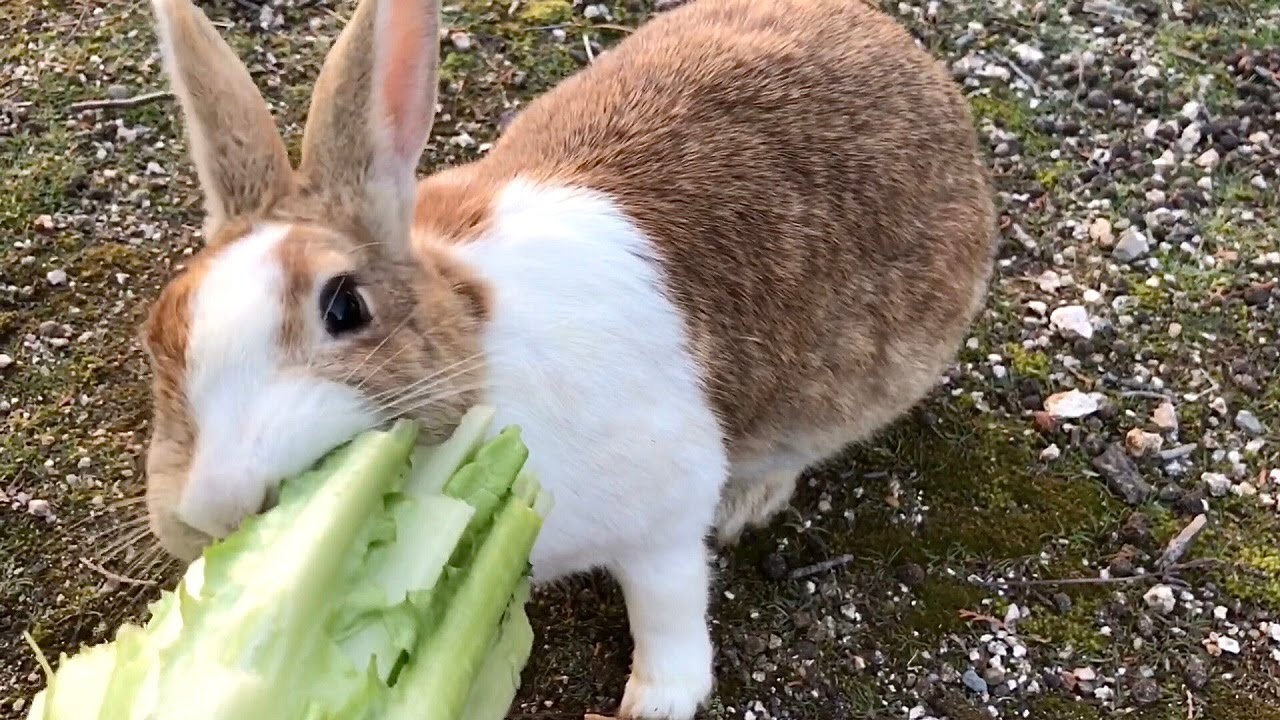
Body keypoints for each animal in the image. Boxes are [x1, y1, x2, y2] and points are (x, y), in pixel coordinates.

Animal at [137, 0, 998, 717]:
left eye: (344, 306)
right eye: (158, 333)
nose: (214, 508)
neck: (477, 356)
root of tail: (920, 68)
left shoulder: (662, 512)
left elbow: (667, 603)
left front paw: (658, 701)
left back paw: (750, 498)